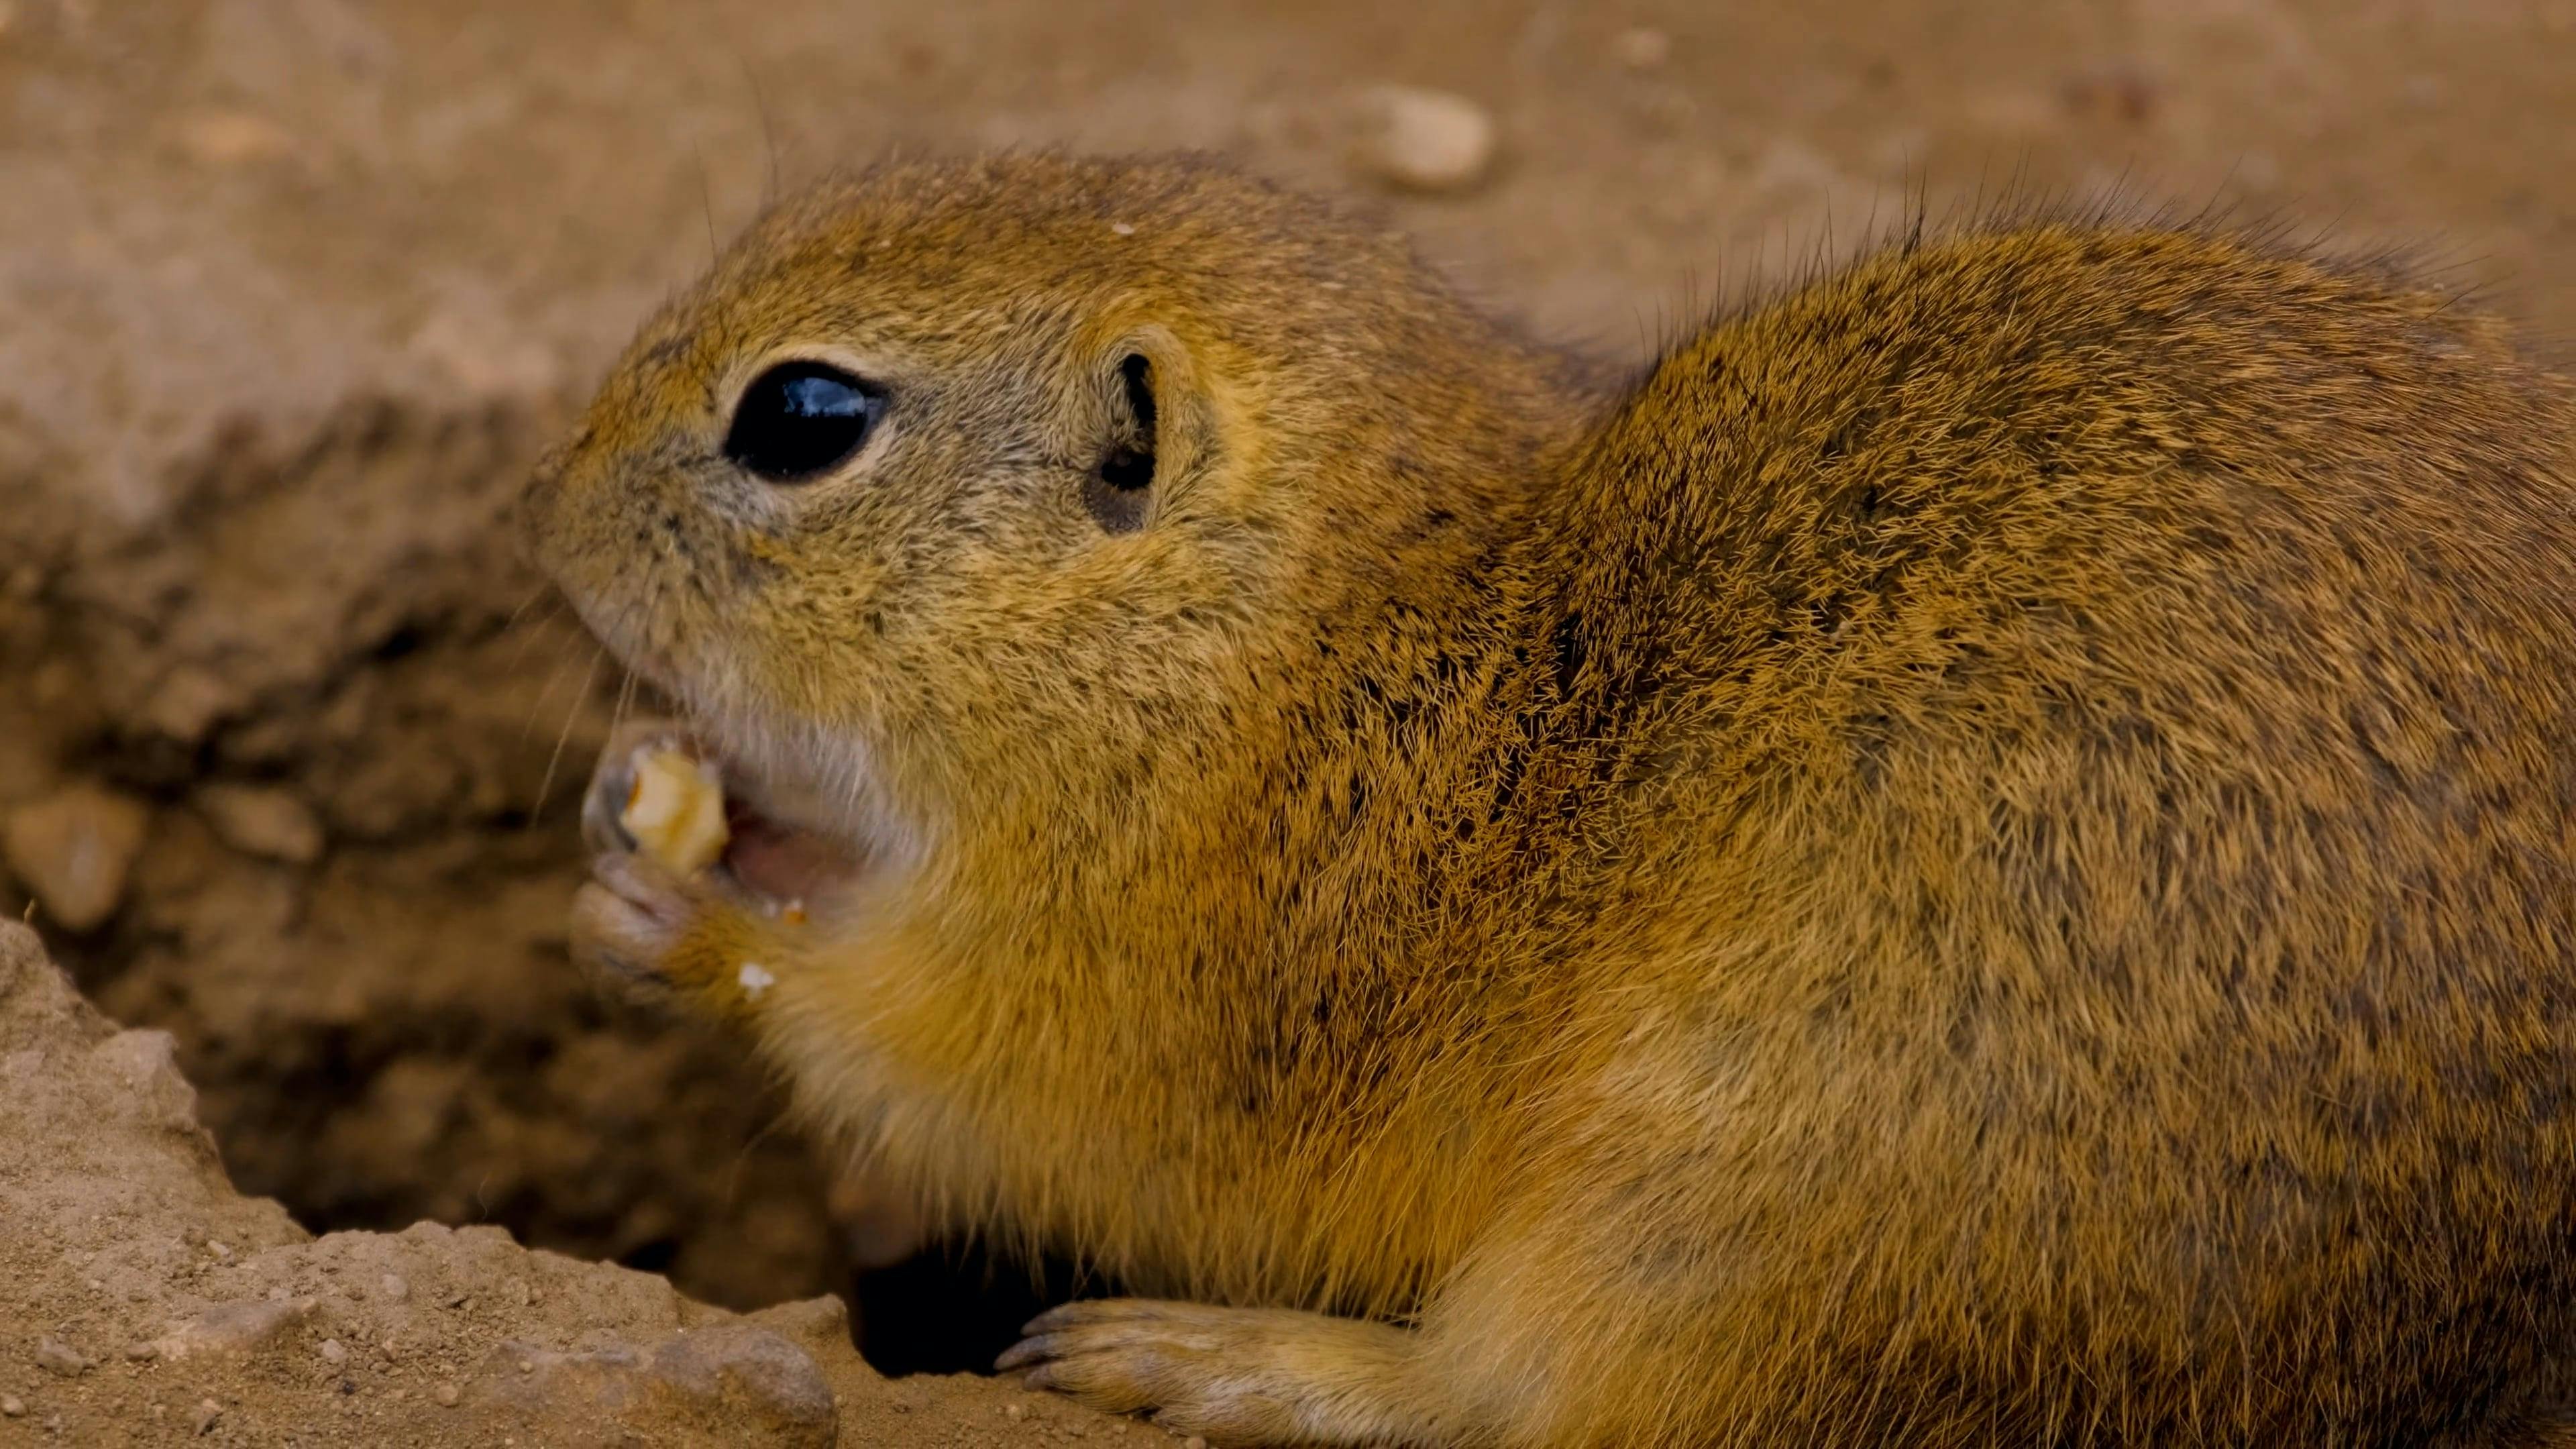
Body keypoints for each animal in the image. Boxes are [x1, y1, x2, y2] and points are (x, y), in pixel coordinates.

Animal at [522, 153, 2576, 1447]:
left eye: (802, 420)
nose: (547, 513)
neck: (1289, 632)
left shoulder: (1117, 996)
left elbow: (927, 1064)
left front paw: (683, 907)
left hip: (1743, 1172)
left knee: (1532, 1401)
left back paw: (1222, 1362)